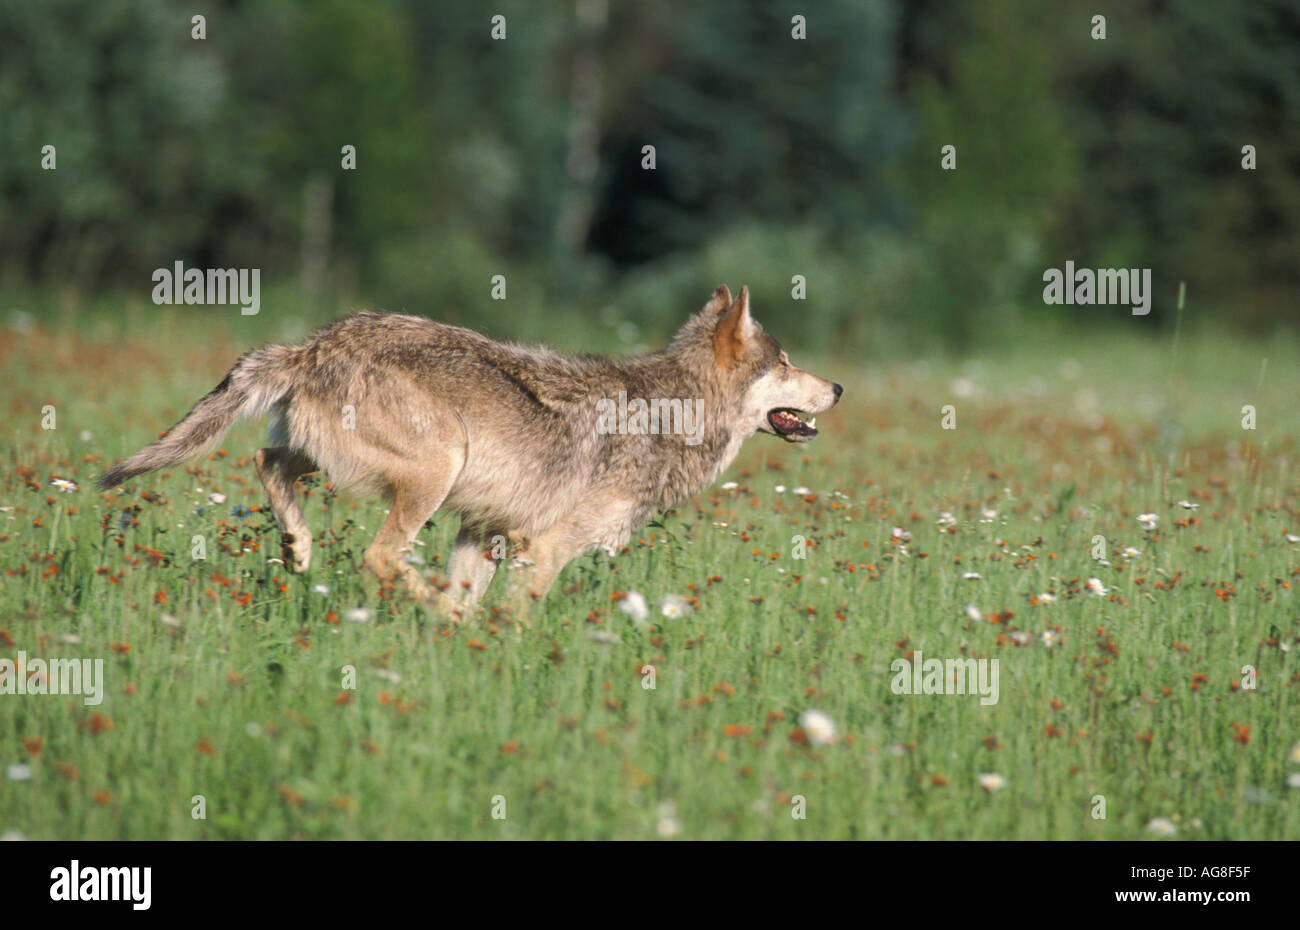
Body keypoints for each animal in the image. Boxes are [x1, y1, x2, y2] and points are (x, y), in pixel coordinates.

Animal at [98, 285, 841, 618]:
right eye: (786, 363)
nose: (836, 386)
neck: (672, 413)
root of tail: (311, 344)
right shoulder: (544, 549)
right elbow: (513, 619)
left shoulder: (482, 533)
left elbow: (471, 598)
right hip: (433, 470)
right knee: (380, 558)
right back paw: (421, 598)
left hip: (334, 459)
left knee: (265, 462)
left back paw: (299, 549)